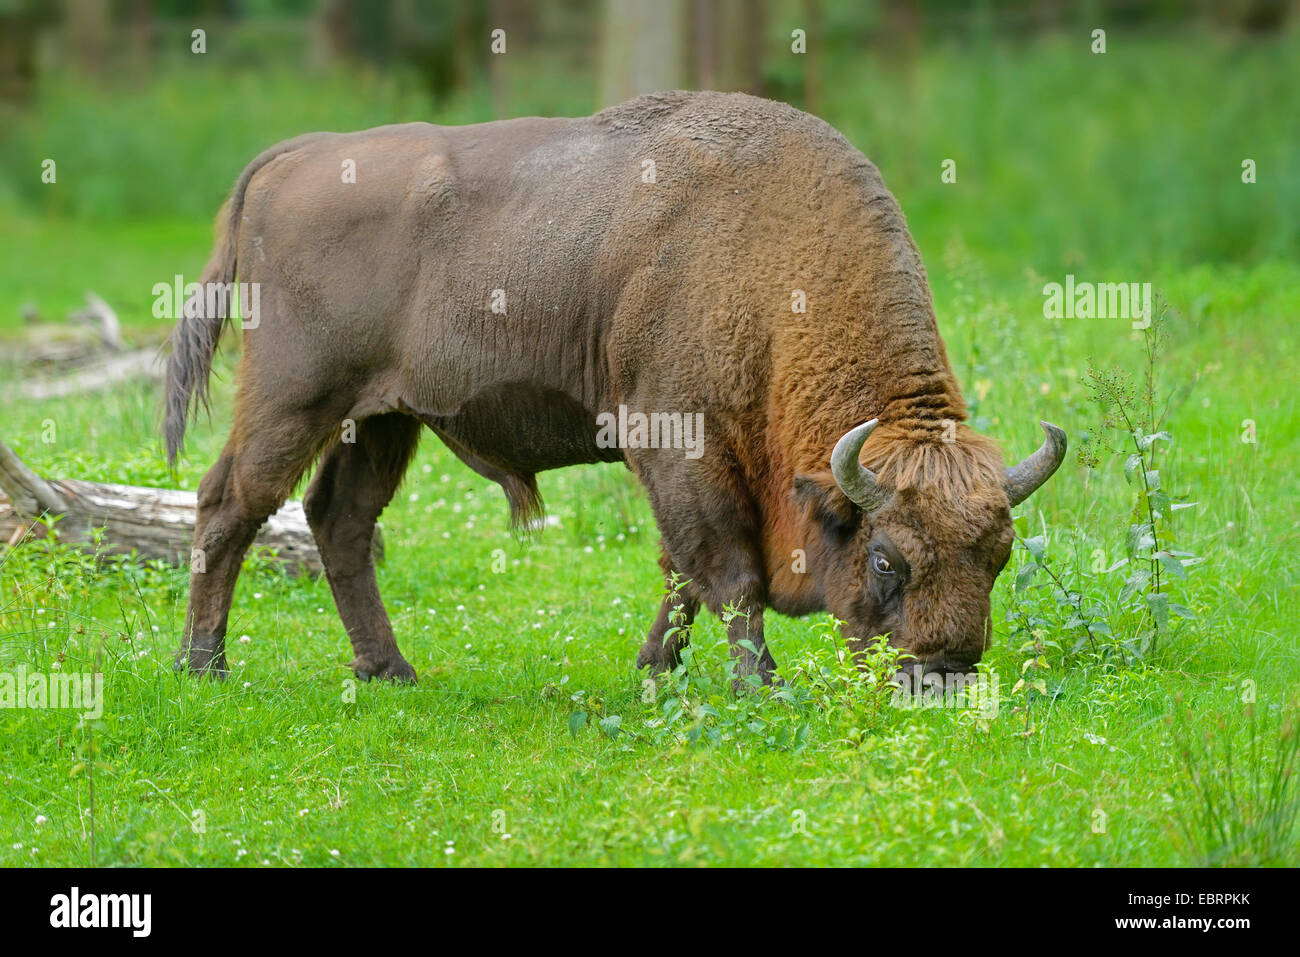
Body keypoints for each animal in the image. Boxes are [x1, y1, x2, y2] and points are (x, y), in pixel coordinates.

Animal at [166, 90, 1065, 686]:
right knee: (230, 502)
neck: (776, 270)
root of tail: (293, 155)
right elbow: (728, 574)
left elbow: (682, 575)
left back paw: (389, 668)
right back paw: (203, 665)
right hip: (294, 396)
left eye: (999, 554)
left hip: (387, 418)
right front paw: (760, 685)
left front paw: (655, 668)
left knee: (340, 518)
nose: (945, 670)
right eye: (886, 559)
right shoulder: (680, 451)